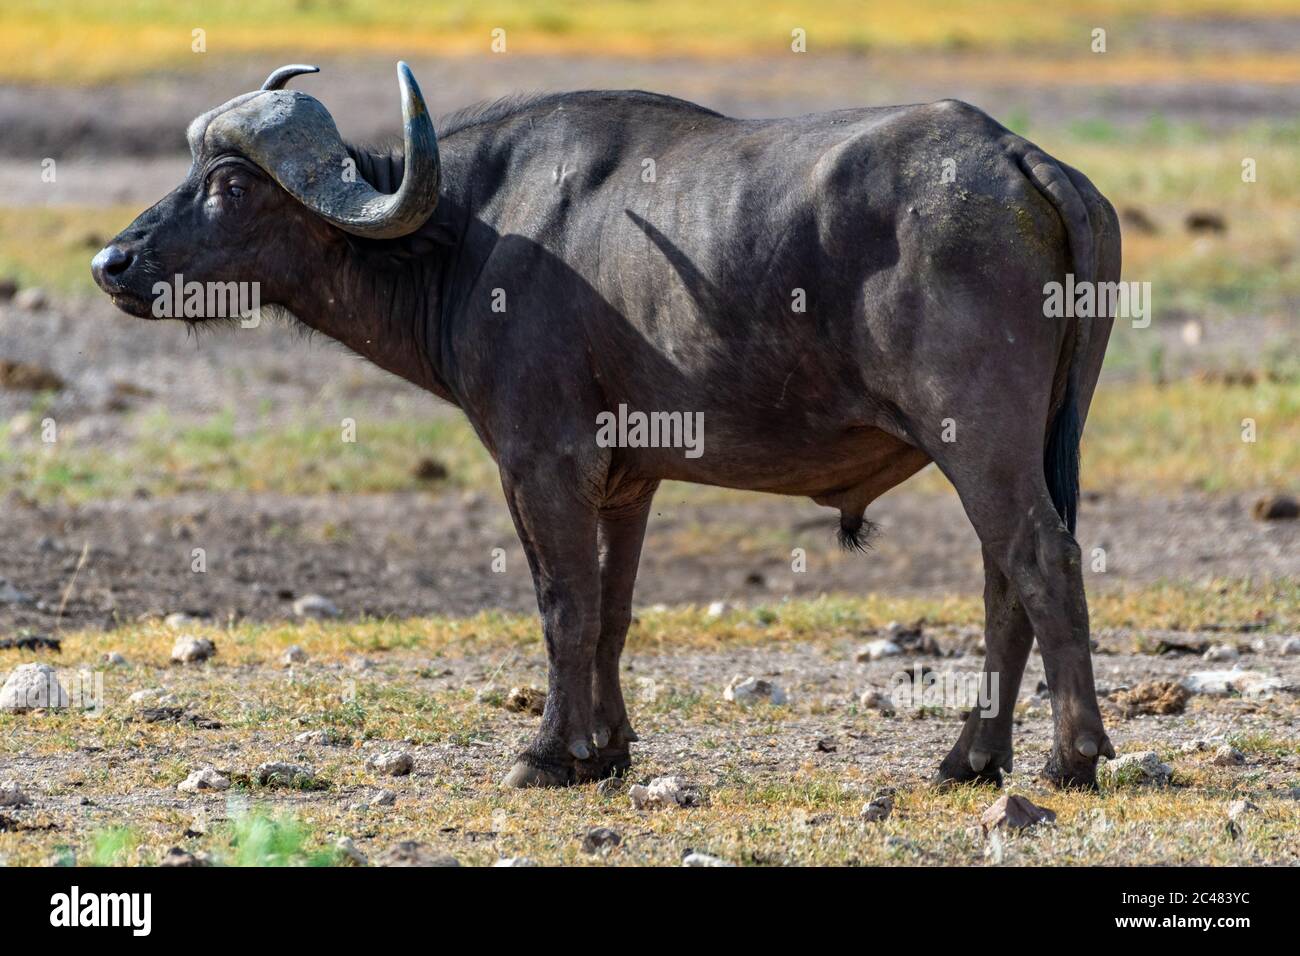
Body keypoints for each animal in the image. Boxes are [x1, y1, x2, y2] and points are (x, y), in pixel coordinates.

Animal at [92, 62, 1121, 788]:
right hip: (1021, 445)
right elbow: (614, 609)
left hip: (977, 440)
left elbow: (563, 604)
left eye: (231, 186)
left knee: (1041, 560)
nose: (113, 262)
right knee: (1003, 579)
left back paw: (1070, 756)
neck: (470, 236)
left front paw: (548, 753)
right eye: (193, 170)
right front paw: (609, 748)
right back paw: (972, 757)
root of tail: (1016, 158)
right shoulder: (630, 480)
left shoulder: (539, 462)